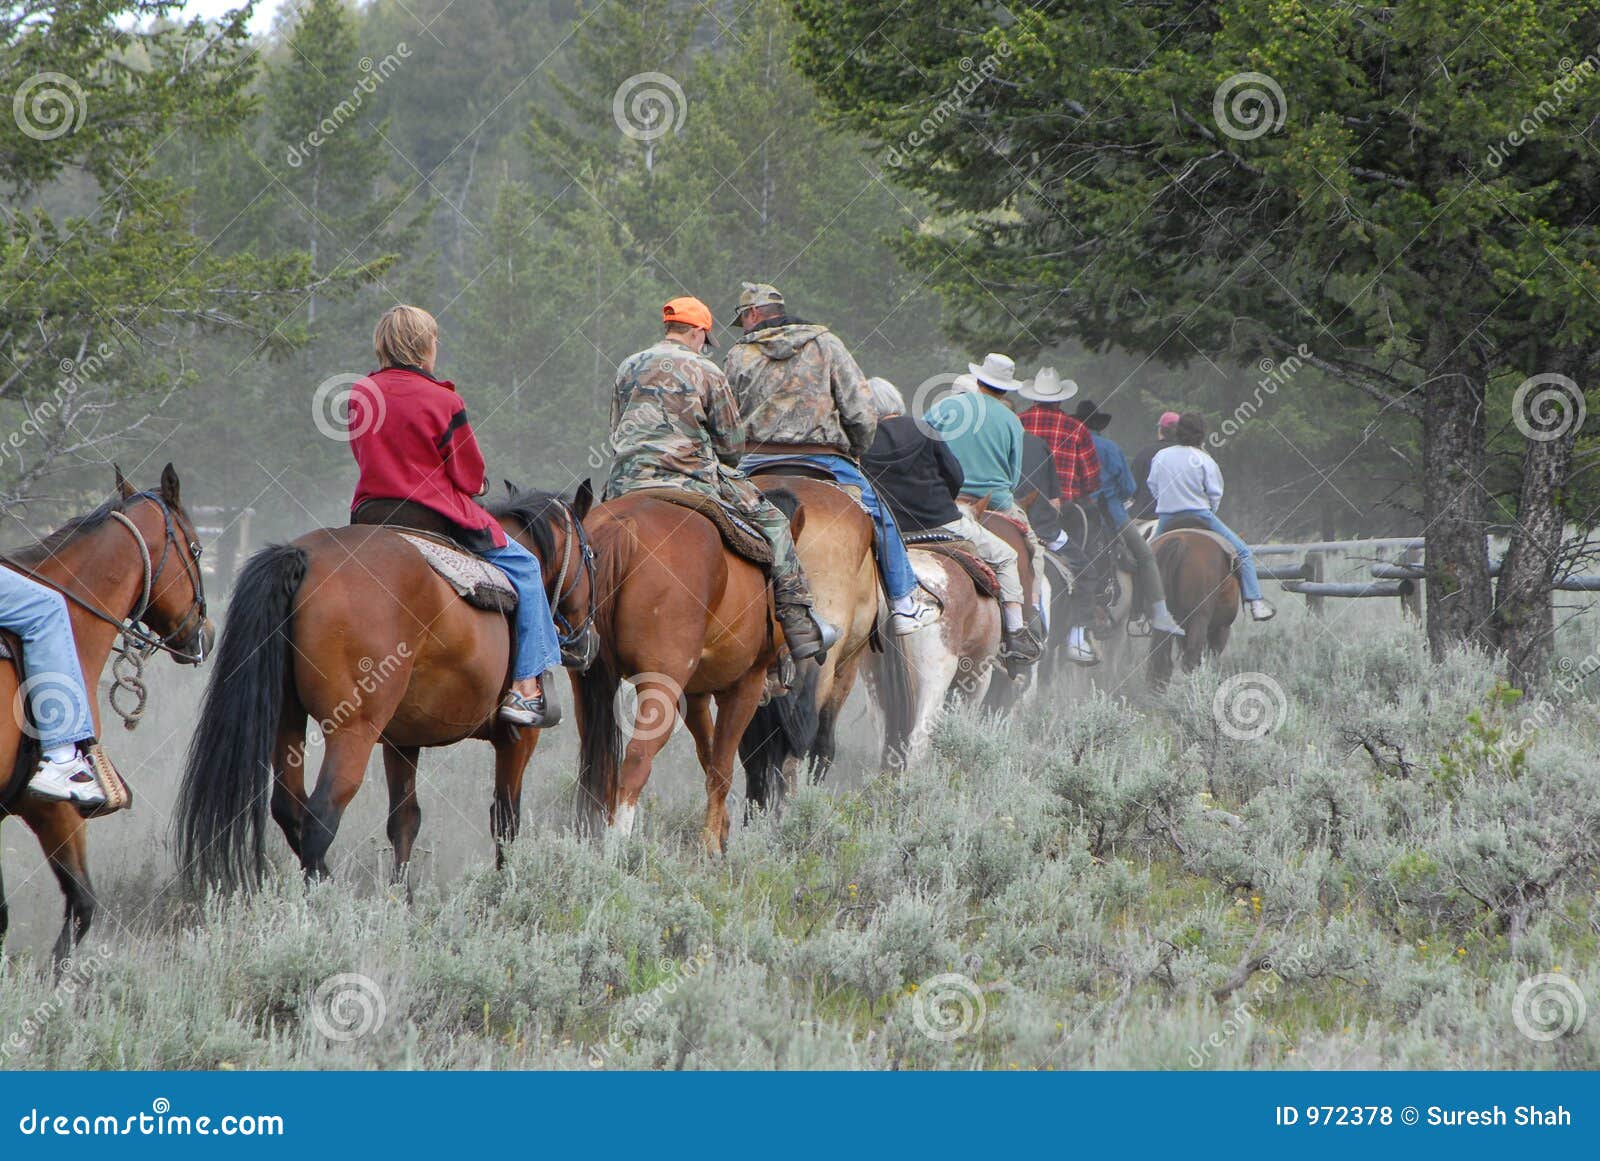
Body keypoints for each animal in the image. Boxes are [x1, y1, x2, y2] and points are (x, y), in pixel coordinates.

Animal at [175, 484, 597, 891]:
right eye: (591, 553)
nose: (587, 642)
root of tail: (305, 557)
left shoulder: (401, 742)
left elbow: (405, 820)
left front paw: (400, 898)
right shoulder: (518, 738)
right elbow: (506, 821)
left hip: (287, 721)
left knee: (289, 808)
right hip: (353, 731)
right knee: (321, 817)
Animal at [572, 487, 807, 853]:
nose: (782, 678)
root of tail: (624, 527)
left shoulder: (693, 695)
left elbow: (707, 756)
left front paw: (721, 830)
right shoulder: (744, 687)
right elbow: (721, 768)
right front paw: (711, 846)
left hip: (587, 683)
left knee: (600, 764)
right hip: (661, 688)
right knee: (637, 759)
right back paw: (618, 846)